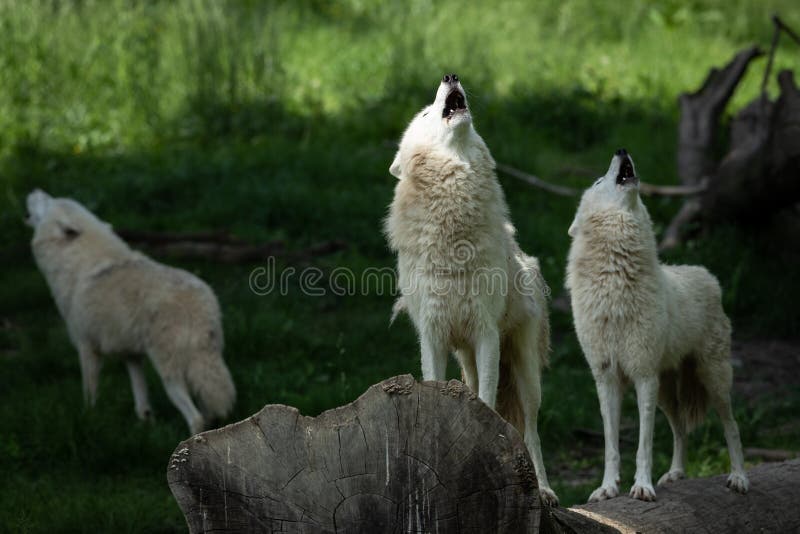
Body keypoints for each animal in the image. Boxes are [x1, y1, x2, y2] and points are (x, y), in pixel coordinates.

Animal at [27, 189, 236, 435]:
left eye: (47, 202)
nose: (35, 191)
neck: (77, 265)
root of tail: (199, 305)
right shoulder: (131, 355)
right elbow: (141, 402)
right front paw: (146, 427)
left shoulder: (86, 347)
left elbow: (89, 394)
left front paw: (89, 419)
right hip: (202, 365)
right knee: (209, 409)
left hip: (170, 374)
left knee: (196, 417)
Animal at [385, 74, 558, 505]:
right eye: (425, 114)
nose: (450, 76)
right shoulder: (432, 334)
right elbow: (437, 386)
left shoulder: (486, 332)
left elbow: (489, 405)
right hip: (465, 358)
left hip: (526, 373)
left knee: (531, 429)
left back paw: (545, 490)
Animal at [566, 150, 749, 502]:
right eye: (598, 181)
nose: (621, 150)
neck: (613, 281)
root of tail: (705, 274)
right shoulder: (606, 379)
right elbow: (611, 445)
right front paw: (607, 488)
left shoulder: (643, 376)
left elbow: (643, 444)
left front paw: (642, 486)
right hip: (667, 391)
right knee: (680, 428)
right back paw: (676, 473)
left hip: (713, 379)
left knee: (732, 426)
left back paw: (739, 477)